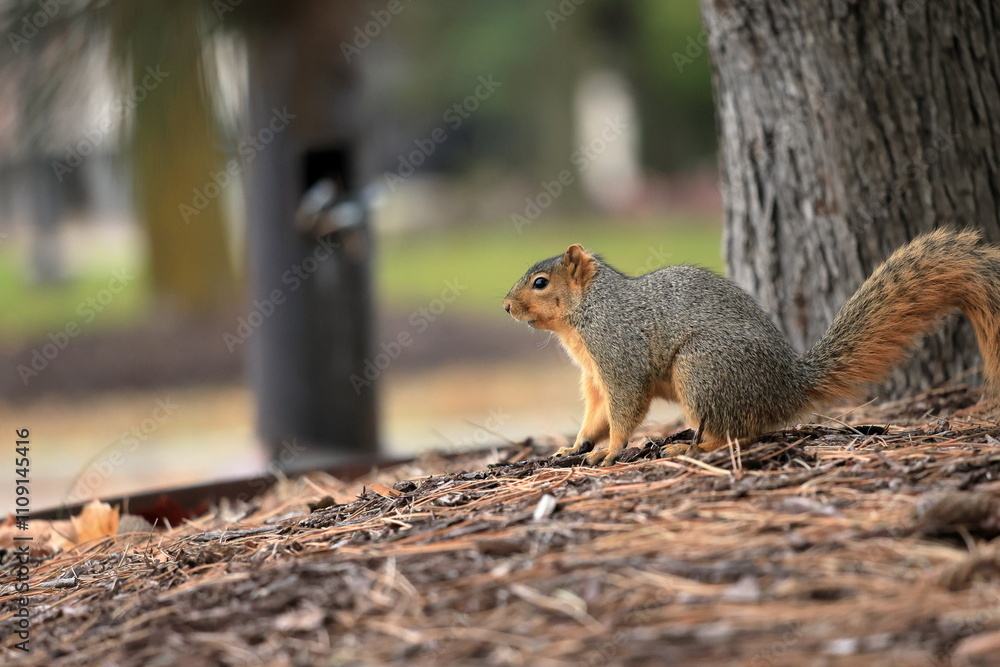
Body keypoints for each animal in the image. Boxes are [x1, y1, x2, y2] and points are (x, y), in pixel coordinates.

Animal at [503, 228, 1000, 467]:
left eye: (540, 282)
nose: (506, 306)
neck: (585, 315)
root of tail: (787, 386)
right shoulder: (594, 377)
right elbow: (596, 415)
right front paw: (575, 447)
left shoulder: (620, 355)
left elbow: (625, 409)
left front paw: (609, 453)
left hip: (702, 367)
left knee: (733, 435)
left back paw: (688, 450)